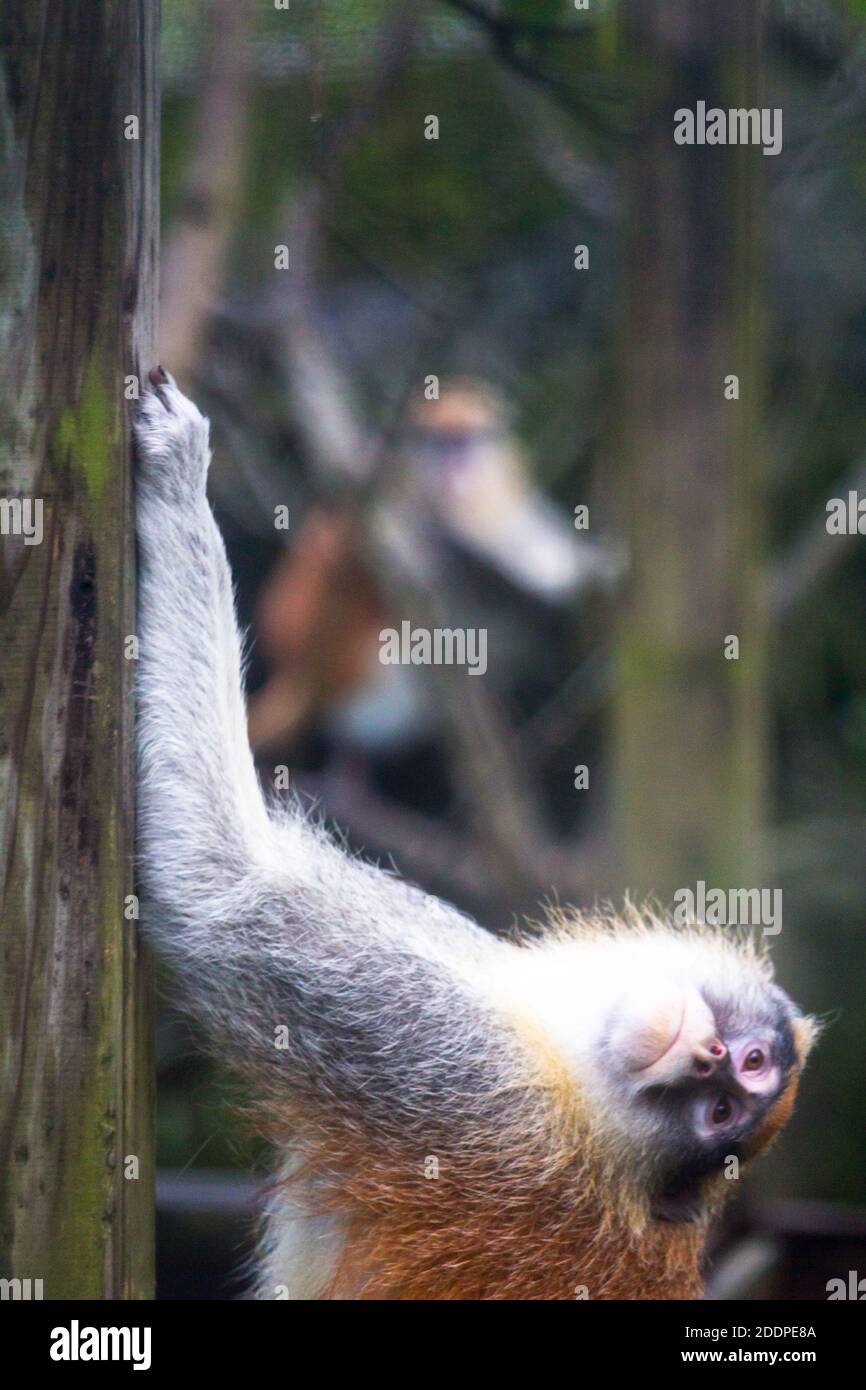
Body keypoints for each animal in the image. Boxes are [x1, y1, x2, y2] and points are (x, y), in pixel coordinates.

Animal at [134, 369, 817, 1300]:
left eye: (719, 1109)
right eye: (743, 1070)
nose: (707, 1056)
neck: (584, 1106)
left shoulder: (455, 1076)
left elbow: (219, 885)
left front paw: (177, 476)